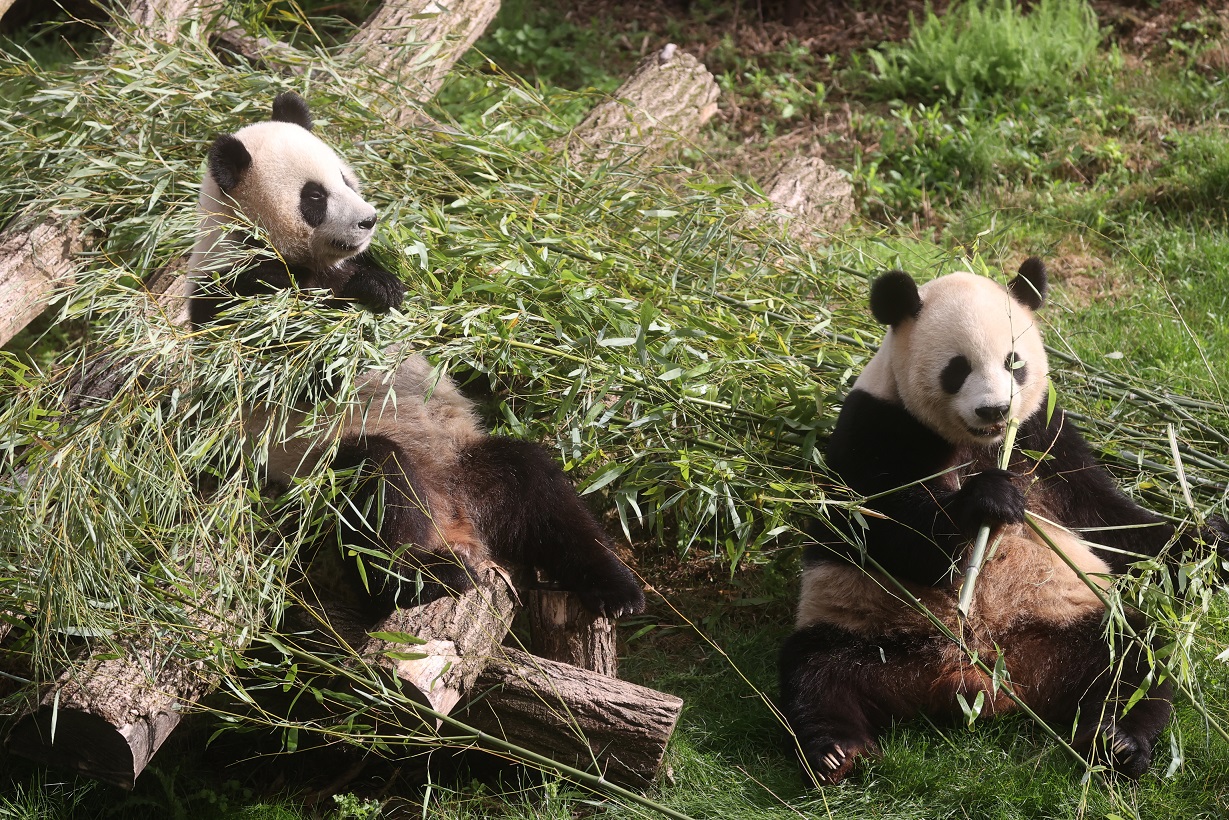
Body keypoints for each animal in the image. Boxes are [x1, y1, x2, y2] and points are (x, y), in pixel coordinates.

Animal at [188, 92, 646, 620]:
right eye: (314, 198)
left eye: (344, 178)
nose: (368, 219)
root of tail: (453, 515)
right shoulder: (235, 297)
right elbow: (299, 372)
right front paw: (364, 297)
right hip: (322, 475)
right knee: (372, 495)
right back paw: (425, 575)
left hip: (470, 461)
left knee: (542, 494)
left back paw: (616, 587)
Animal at [779, 259, 1228, 785]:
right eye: (957, 369)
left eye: (1015, 362)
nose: (995, 408)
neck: (982, 441)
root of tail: (977, 678)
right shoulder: (875, 425)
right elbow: (878, 527)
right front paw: (988, 502)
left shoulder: (1045, 435)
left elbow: (1107, 520)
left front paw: (1211, 541)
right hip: (865, 630)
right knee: (817, 675)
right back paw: (838, 752)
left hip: (1072, 621)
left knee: (1136, 659)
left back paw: (1118, 741)